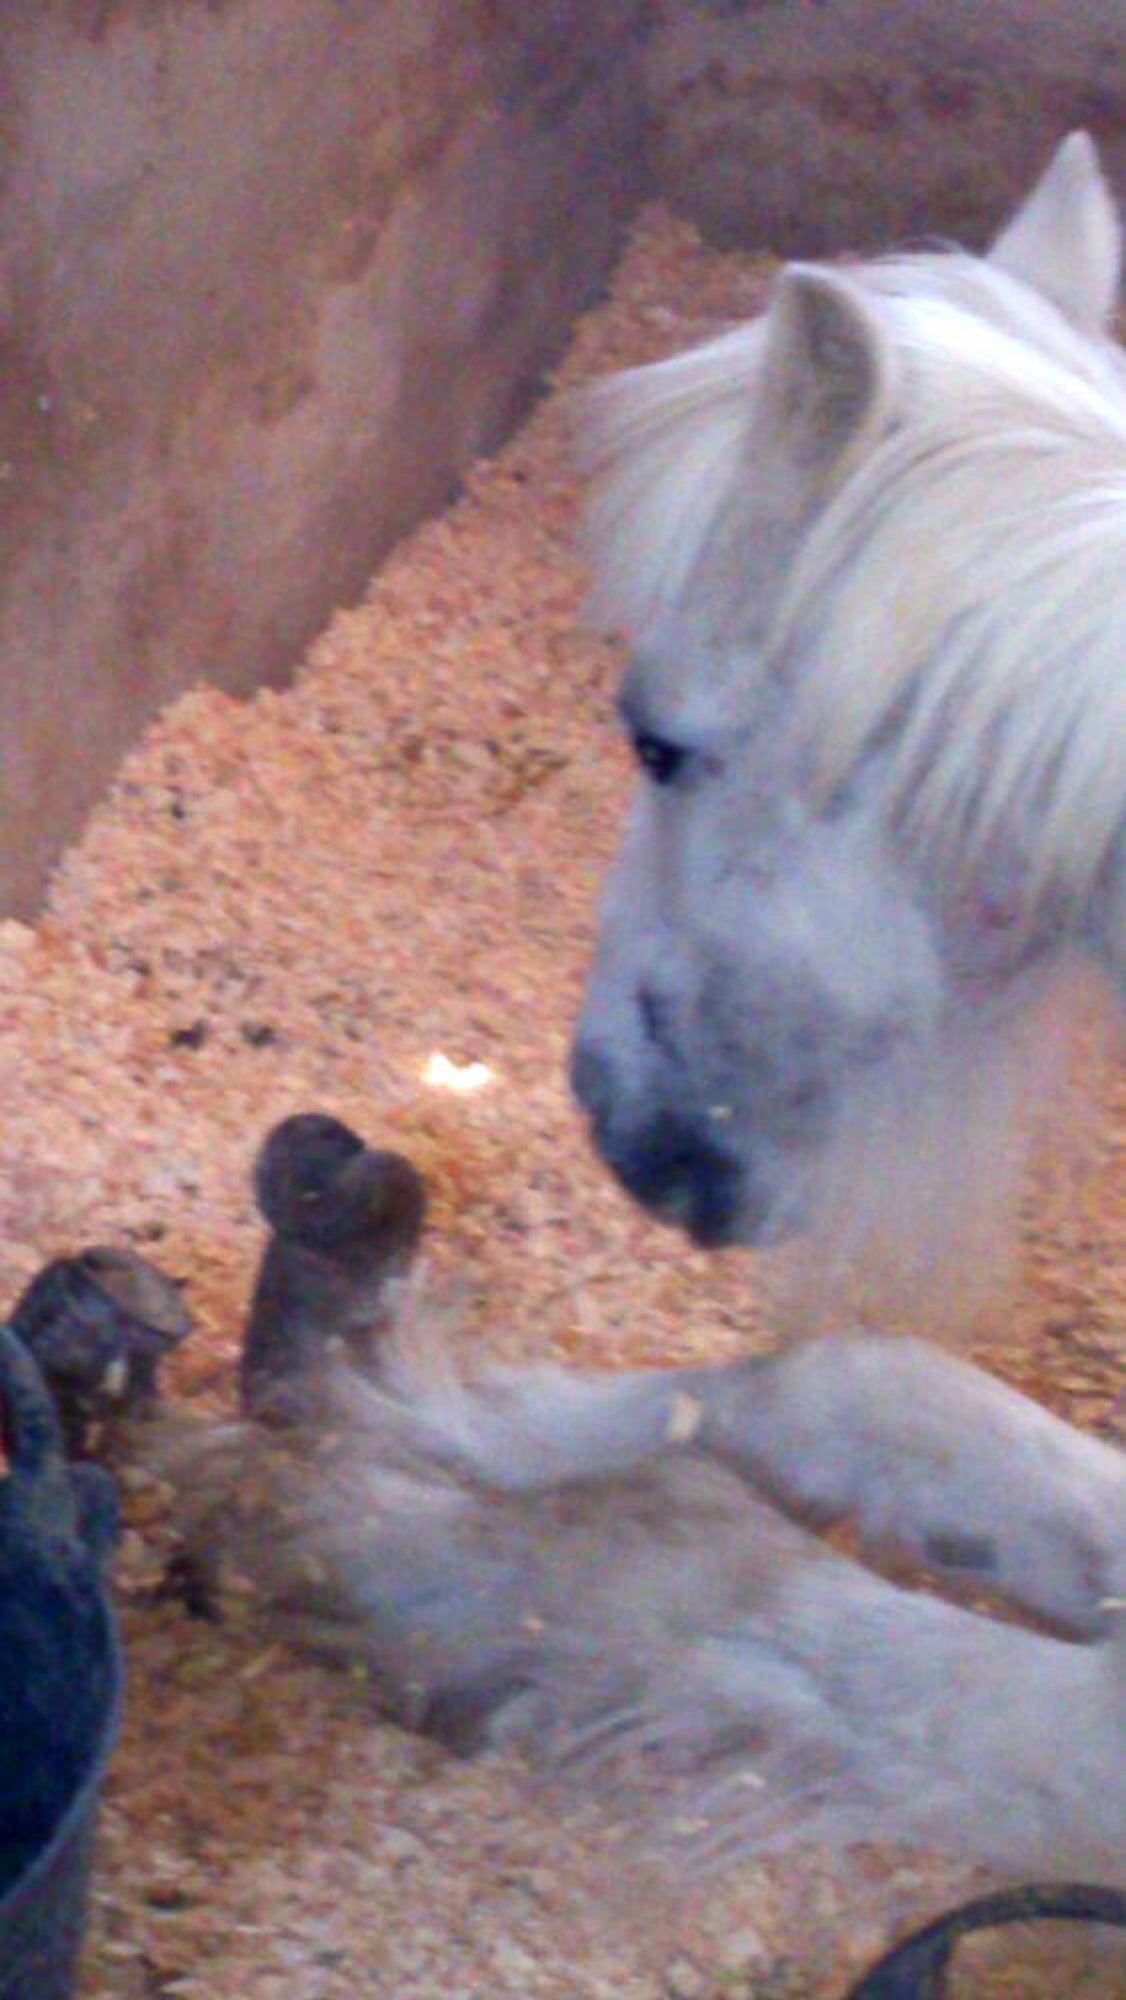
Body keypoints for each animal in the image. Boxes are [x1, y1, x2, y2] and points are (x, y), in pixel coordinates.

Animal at [171, 135, 1125, 1888]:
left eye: (661, 741)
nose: (607, 1103)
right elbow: (837, 1391)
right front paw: (475, 1415)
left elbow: (734, 1597)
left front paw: (389, 1525)